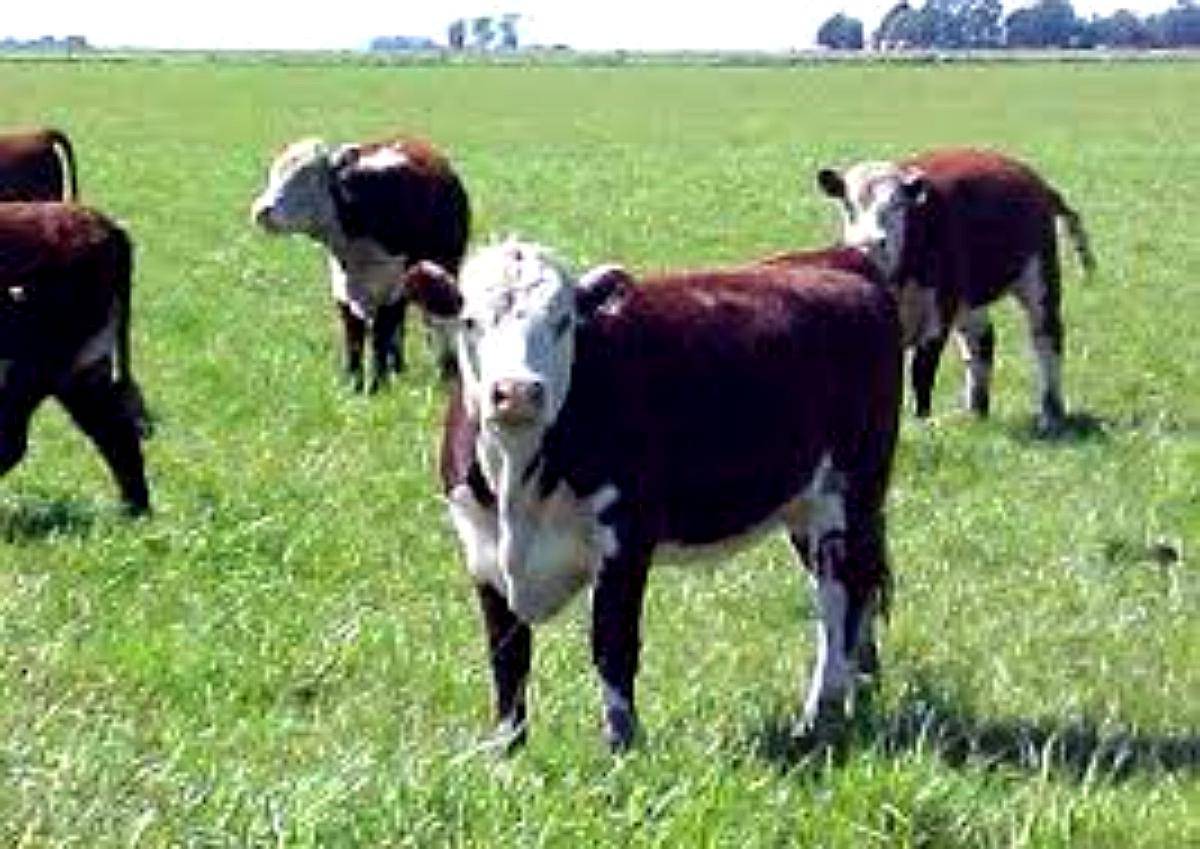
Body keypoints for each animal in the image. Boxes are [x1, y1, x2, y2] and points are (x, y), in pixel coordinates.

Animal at [0, 203, 151, 515]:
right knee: (113, 430)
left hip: (40, 367)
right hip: (80, 371)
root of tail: (101, 222)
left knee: (11, 440)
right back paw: (134, 511)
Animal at [250, 135, 470, 392]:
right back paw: (398, 368)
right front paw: (353, 386)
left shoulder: (393, 286)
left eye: (308, 176)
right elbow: (354, 338)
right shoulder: (342, 287)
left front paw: (377, 385)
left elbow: (380, 336)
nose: (261, 212)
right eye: (274, 172)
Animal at [405, 238, 902, 752]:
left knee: (841, 597)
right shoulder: (480, 550)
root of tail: (837, 255)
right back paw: (859, 690)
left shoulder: (624, 541)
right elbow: (507, 656)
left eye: (563, 321)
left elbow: (612, 646)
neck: (516, 486)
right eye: (470, 321)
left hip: (850, 495)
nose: (518, 391)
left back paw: (822, 714)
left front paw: (620, 744)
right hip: (807, 508)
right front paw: (507, 747)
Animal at [816, 147, 1095, 434]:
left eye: (897, 205)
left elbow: (921, 371)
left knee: (1046, 339)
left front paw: (922, 421)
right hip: (970, 300)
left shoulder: (939, 314)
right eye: (849, 205)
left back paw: (1051, 414)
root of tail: (1035, 181)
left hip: (1040, 279)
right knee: (980, 343)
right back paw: (975, 411)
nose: (869, 243)